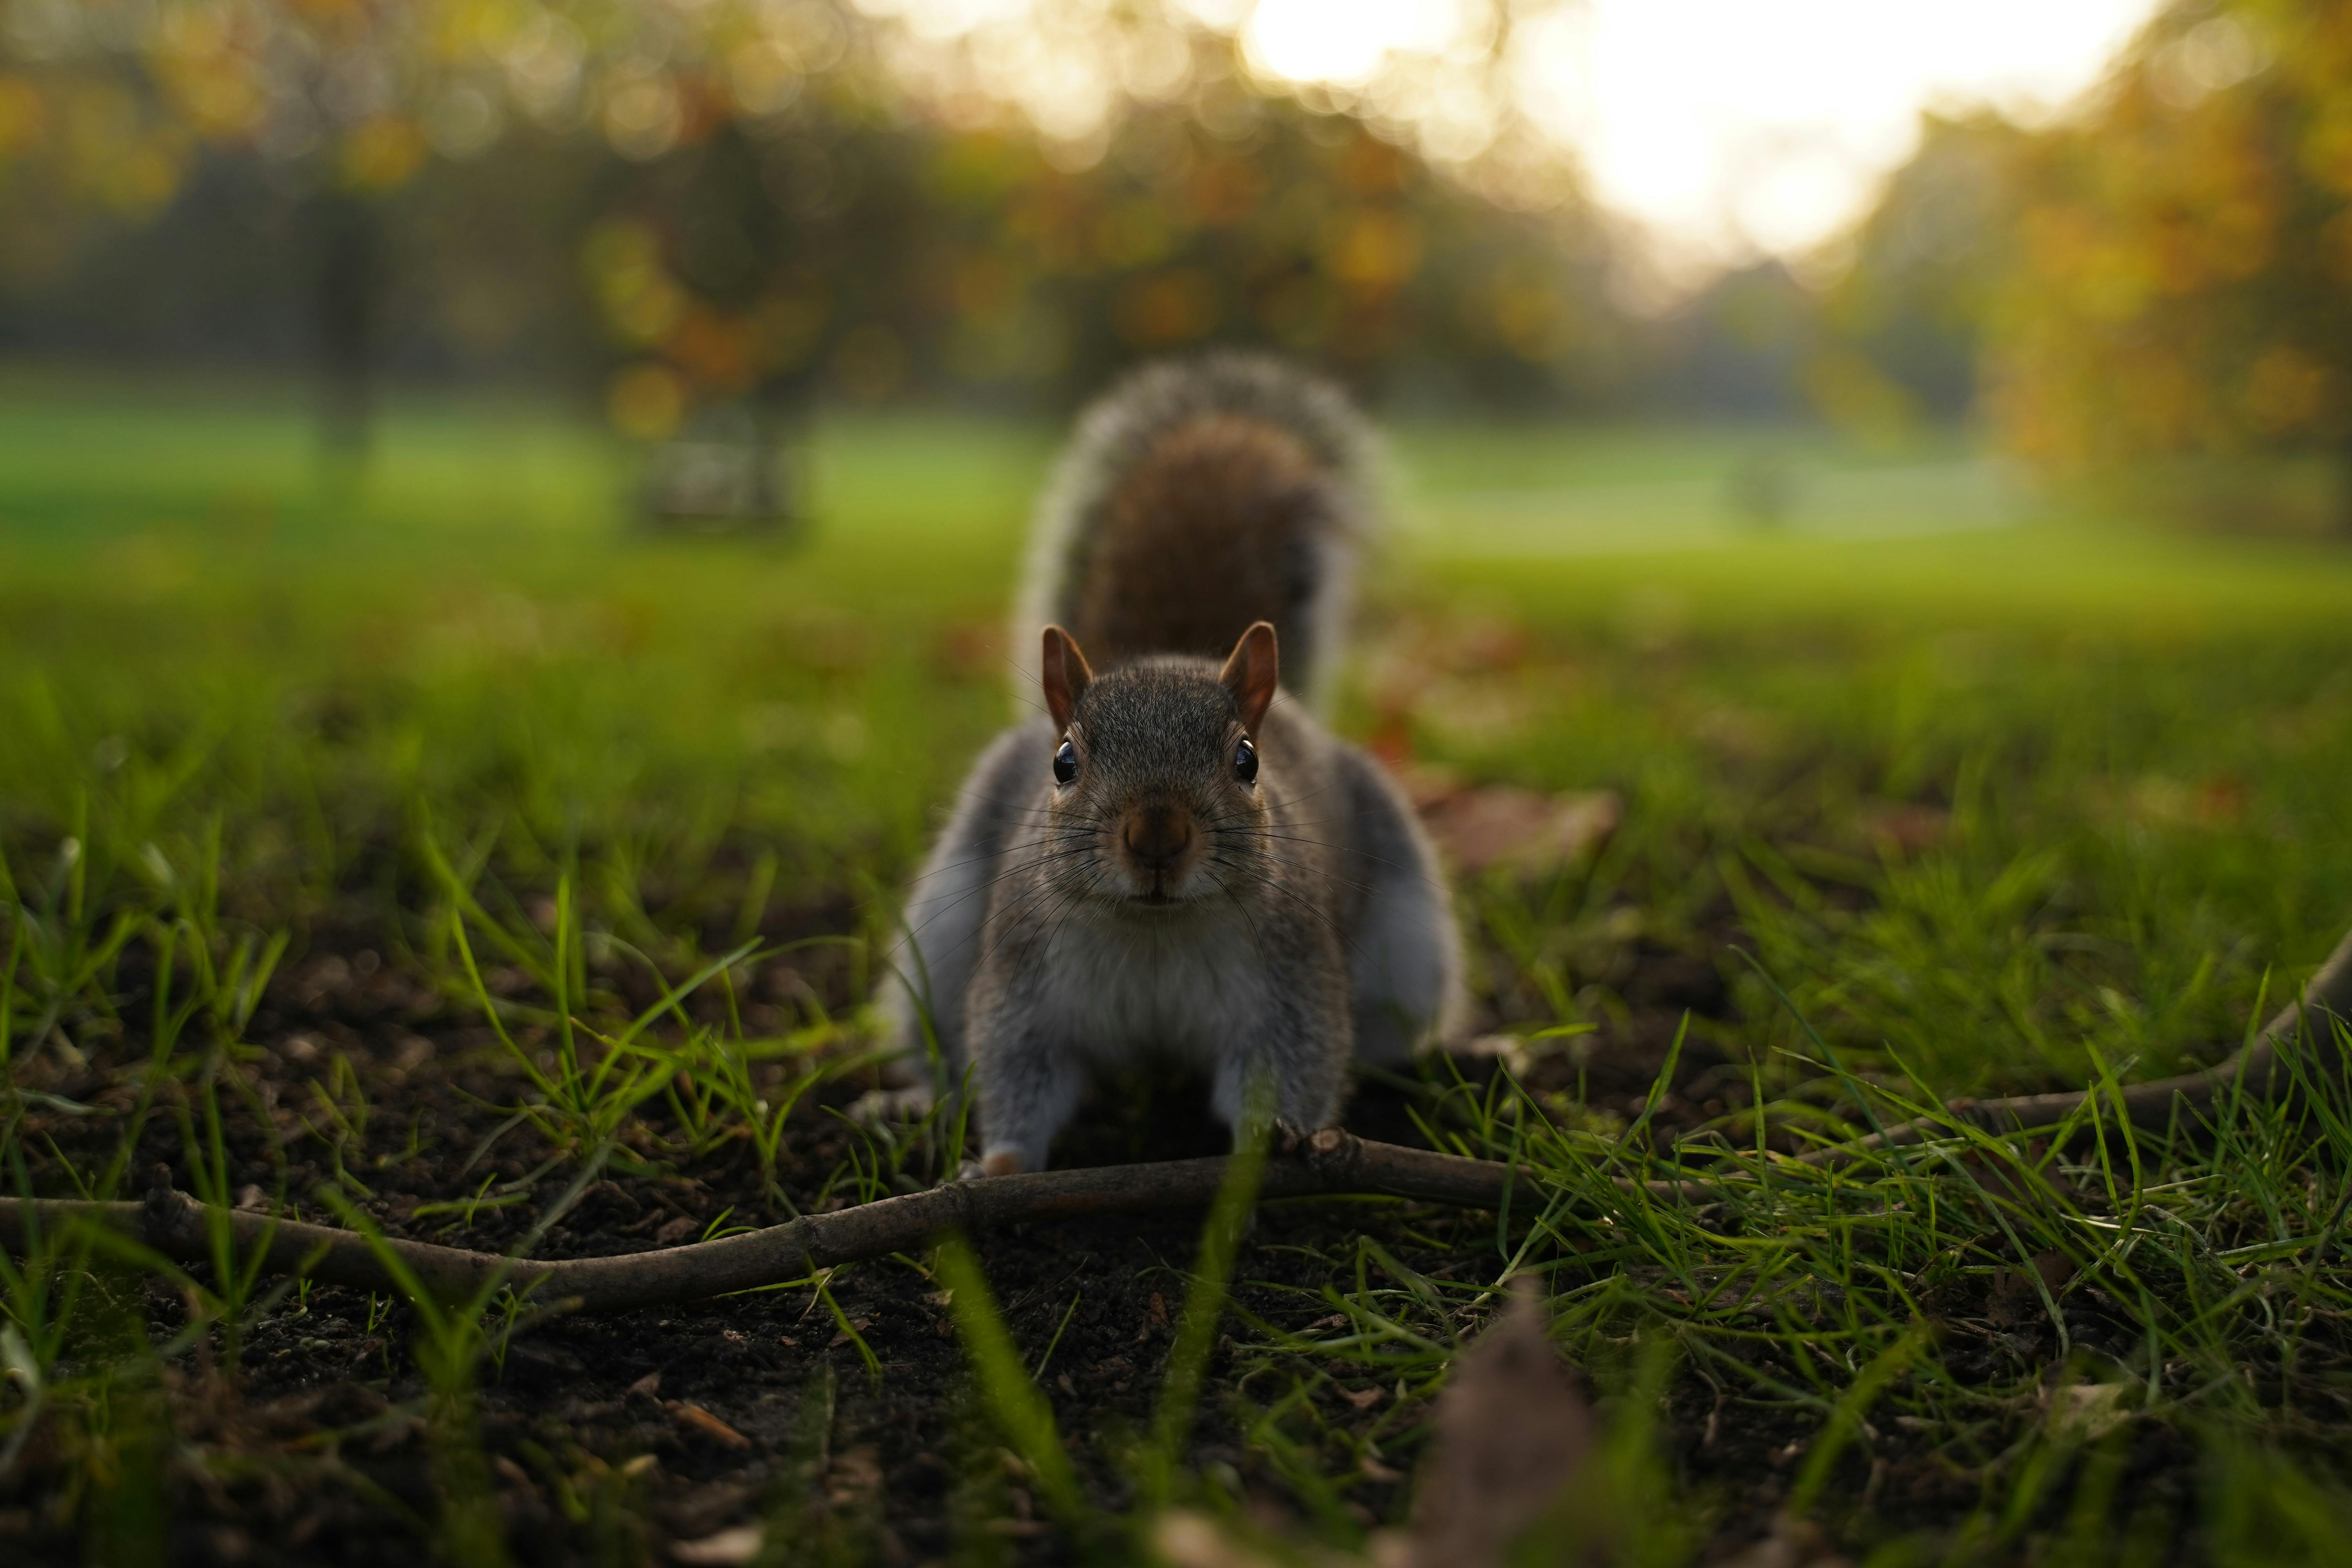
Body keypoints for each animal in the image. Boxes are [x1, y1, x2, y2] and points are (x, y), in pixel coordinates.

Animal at [873, 353, 1465, 1175]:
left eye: (1248, 761)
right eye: (1064, 763)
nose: (1157, 839)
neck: (1154, 932)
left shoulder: (1291, 985)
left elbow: (1292, 1067)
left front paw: (1267, 1151)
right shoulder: (1024, 990)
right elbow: (1017, 1073)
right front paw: (1001, 1164)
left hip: (1406, 946)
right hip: (941, 941)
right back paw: (905, 1102)